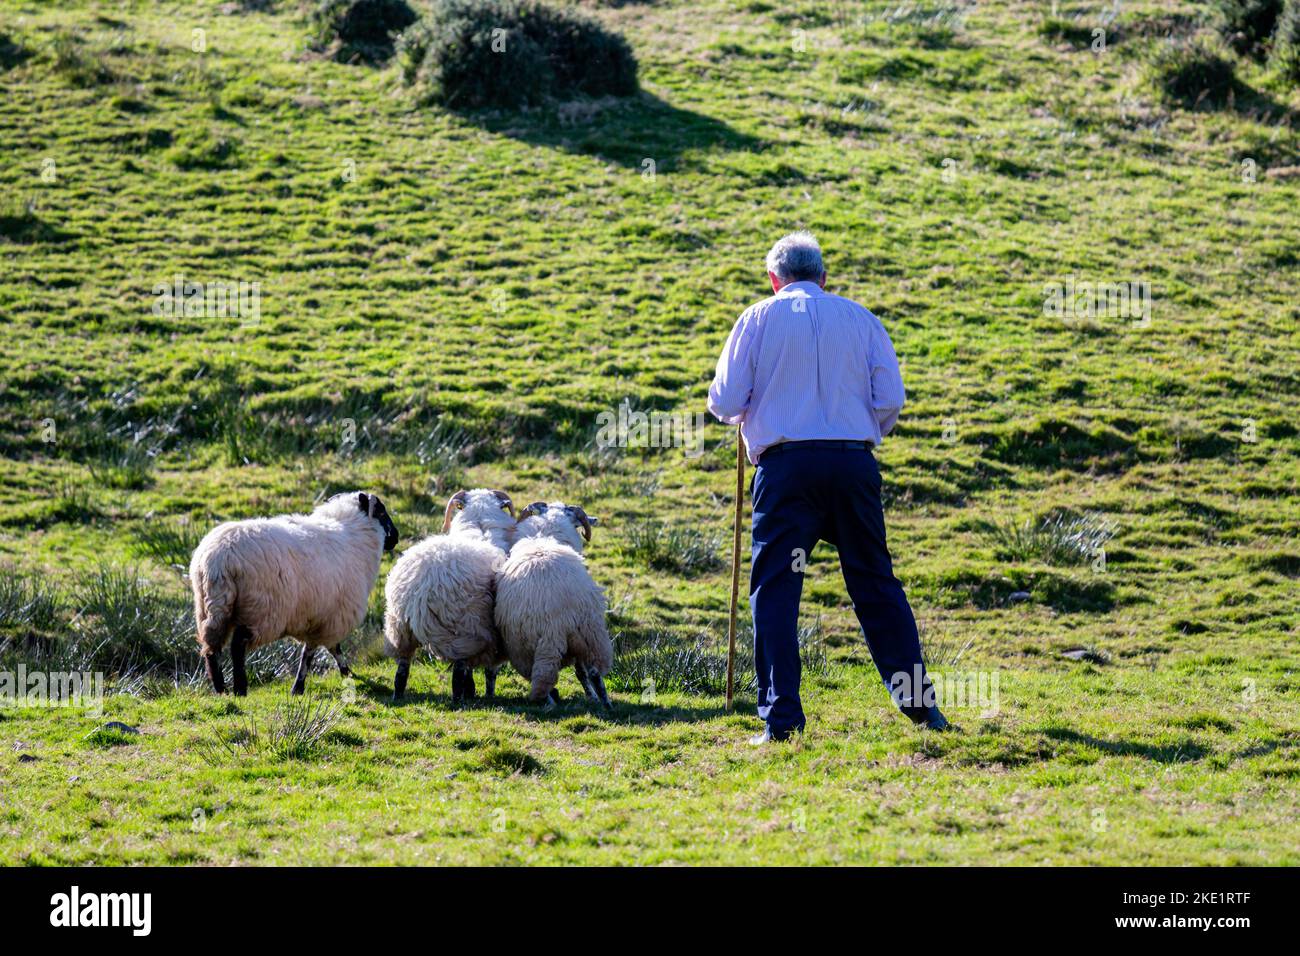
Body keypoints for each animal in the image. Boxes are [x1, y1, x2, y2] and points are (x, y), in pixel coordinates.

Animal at [189, 492, 399, 696]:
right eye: (381, 511)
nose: (396, 537)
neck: (354, 534)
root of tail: (219, 559)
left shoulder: (319, 616)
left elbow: (328, 649)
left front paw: (346, 673)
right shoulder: (331, 617)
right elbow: (315, 651)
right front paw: (300, 686)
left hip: (212, 607)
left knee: (211, 648)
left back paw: (220, 688)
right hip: (259, 610)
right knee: (237, 645)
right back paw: (240, 689)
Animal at [383, 488, 516, 703]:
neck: (479, 526)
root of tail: (421, 589)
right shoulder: (494, 634)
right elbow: (490, 672)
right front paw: (487, 694)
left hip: (399, 628)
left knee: (402, 668)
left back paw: (398, 696)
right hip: (463, 629)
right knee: (458, 672)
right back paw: (458, 701)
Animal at [494, 500, 612, 709]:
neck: (545, 535)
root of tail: (555, 622)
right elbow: (581, 672)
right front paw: (592, 697)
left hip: (537, 644)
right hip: (587, 633)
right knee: (590, 672)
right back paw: (603, 703)